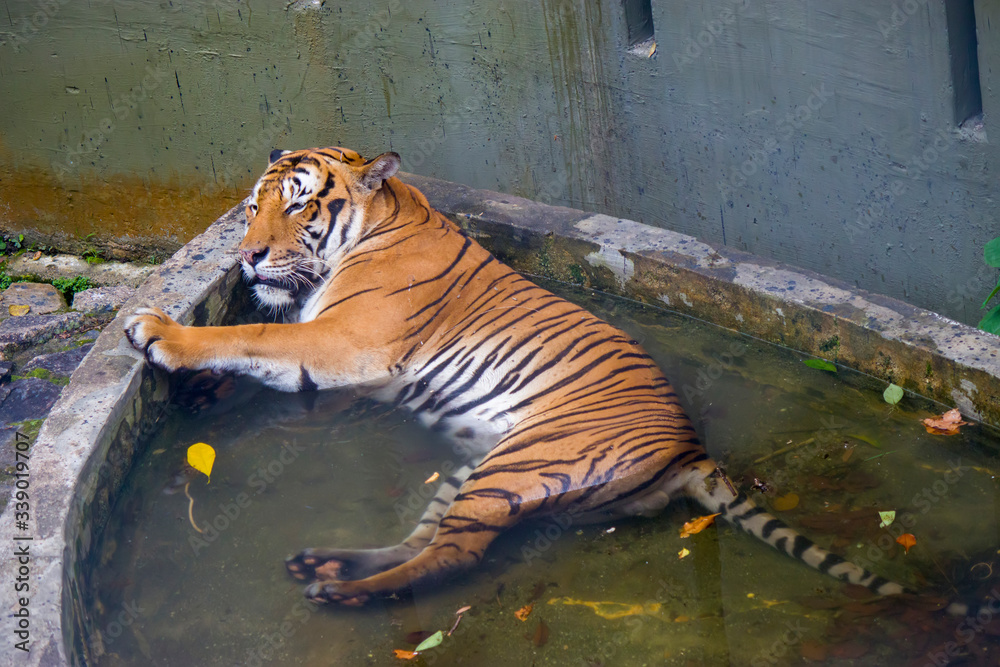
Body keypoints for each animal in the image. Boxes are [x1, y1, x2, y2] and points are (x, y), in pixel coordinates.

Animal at [124, 146, 941, 610]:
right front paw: (197, 384)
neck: (386, 217)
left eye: (298, 205)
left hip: (519, 462)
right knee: (425, 538)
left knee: (451, 555)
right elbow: (258, 339)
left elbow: (253, 333)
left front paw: (158, 332)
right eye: (251, 207)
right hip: (477, 468)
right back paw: (331, 562)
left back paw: (342, 592)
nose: (247, 258)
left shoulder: (346, 342)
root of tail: (694, 450)